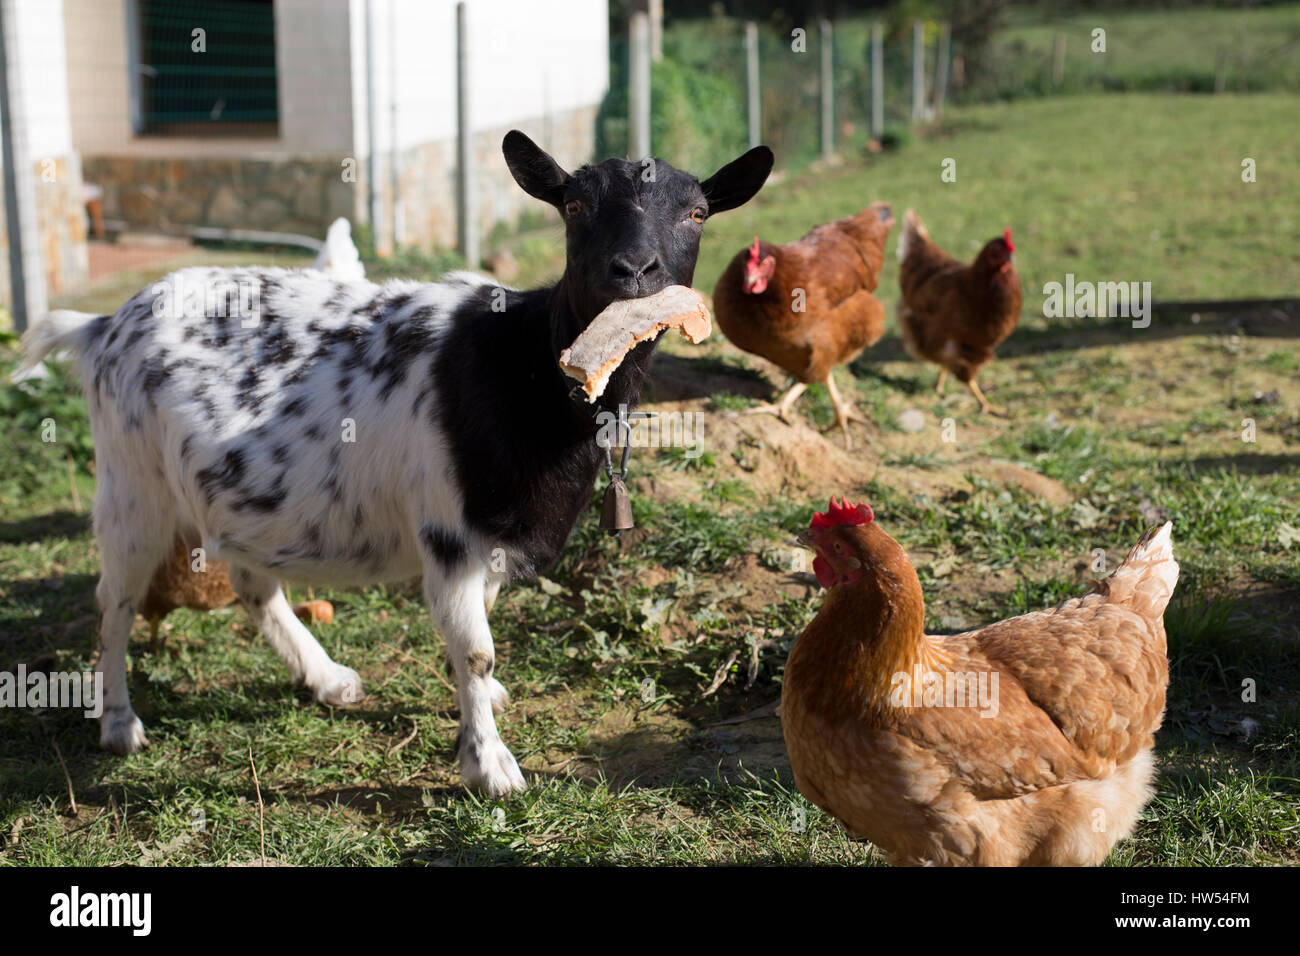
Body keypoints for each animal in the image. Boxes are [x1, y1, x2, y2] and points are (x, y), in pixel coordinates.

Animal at [16, 131, 773, 797]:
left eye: (696, 212)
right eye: (576, 206)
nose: (636, 272)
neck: (526, 366)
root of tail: (100, 327)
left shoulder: (488, 535)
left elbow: (479, 633)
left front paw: (481, 708)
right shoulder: (448, 530)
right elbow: (476, 647)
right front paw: (490, 768)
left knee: (253, 583)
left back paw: (325, 678)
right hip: (131, 487)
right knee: (114, 602)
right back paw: (119, 724)